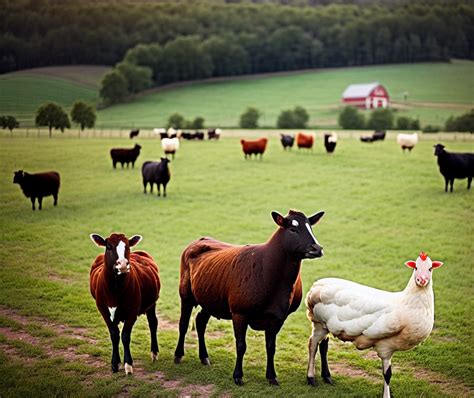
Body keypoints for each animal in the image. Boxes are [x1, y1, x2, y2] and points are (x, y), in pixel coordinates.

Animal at [174, 208, 326, 386]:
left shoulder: (278, 317)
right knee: (183, 323)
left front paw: (272, 376)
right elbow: (241, 346)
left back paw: (204, 357)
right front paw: (238, 376)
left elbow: (271, 347)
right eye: (293, 229)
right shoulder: (239, 313)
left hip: (211, 297)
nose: (317, 248)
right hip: (186, 294)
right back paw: (178, 355)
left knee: (200, 321)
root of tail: (198, 240)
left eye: (311, 227)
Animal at [306, 252, 442, 398]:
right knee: (313, 344)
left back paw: (327, 377)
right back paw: (311, 377)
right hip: (319, 321)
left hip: (325, 325)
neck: (408, 304)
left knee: (323, 345)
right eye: (416, 267)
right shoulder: (385, 347)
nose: (421, 280)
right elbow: (387, 374)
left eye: (430, 268)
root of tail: (317, 288)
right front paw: (386, 395)